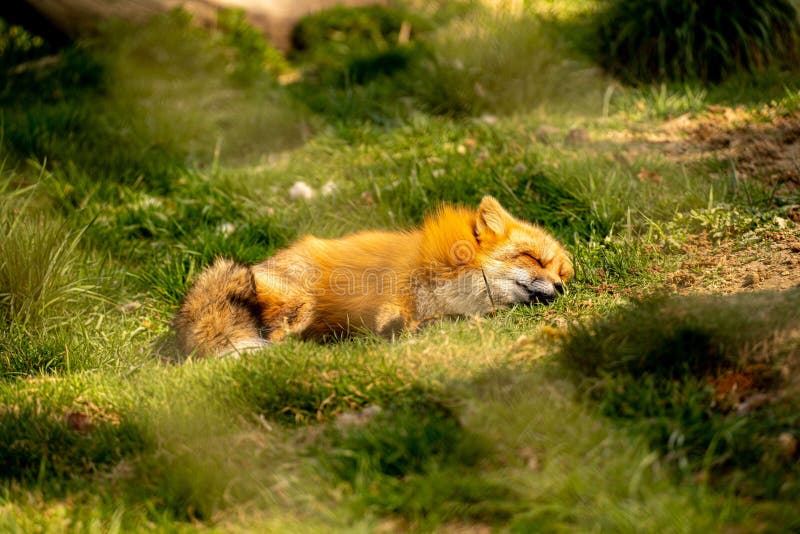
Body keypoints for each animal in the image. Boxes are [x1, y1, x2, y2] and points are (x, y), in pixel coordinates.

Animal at [174, 196, 574, 357]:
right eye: (532, 258)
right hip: (301, 302)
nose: (559, 287)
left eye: (562, 273)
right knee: (277, 332)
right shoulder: (405, 274)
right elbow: (395, 298)